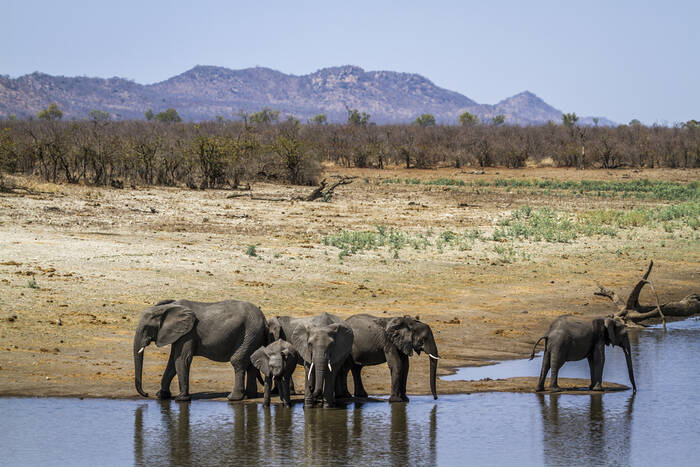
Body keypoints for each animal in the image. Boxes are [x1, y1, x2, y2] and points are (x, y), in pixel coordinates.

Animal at [133, 299, 267, 401]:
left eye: (147, 327)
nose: (146, 394)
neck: (168, 308)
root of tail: (264, 318)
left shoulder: (189, 333)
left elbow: (182, 359)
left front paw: (181, 399)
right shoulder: (179, 333)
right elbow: (172, 362)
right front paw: (162, 396)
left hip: (250, 332)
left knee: (237, 361)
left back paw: (233, 398)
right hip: (253, 335)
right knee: (250, 363)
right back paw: (250, 396)